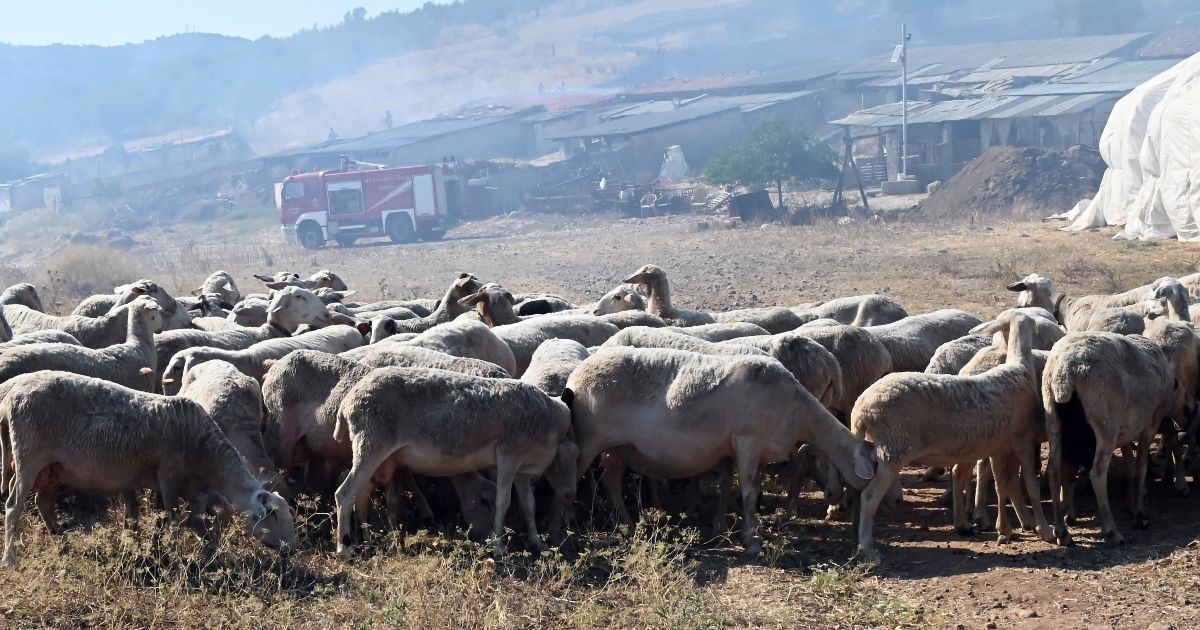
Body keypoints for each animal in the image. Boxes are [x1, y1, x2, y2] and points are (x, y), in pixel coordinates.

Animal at [333, 366, 577, 557]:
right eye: (564, 461)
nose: (569, 497)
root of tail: (347, 402)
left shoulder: (521, 469)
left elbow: (528, 504)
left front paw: (537, 541)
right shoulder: (508, 455)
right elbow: (503, 501)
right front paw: (497, 546)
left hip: (377, 454)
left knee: (361, 494)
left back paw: (366, 539)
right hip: (372, 444)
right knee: (345, 494)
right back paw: (344, 548)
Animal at [566, 347, 876, 554]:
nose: (841, 503)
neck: (797, 411)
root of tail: (576, 375)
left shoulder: (737, 450)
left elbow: (734, 486)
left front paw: (729, 526)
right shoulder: (748, 441)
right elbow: (749, 493)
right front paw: (751, 540)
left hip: (619, 448)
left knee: (612, 481)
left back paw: (627, 524)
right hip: (589, 440)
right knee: (573, 482)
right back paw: (570, 531)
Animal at [851, 311, 1053, 565]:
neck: (1019, 368)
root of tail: (860, 409)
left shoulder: (999, 448)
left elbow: (1002, 485)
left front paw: (1004, 529)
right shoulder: (1024, 442)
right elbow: (1031, 487)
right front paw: (1045, 530)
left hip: (876, 450)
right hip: (892, 451)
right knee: (869, 498)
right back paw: (867, 548)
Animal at [1042, 330, 1192, 546]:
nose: (1186, 424)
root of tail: (1065, 374)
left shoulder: (1126, 435)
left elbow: (1129, 469)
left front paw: (1131, 506)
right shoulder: (1149, 426)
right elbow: (1140, 470)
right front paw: (1140, 514)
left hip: (1054, 422)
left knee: (1054, 473)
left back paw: (1062, 532)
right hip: (1105, 427)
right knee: (1097, 475)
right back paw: (1112, 532)